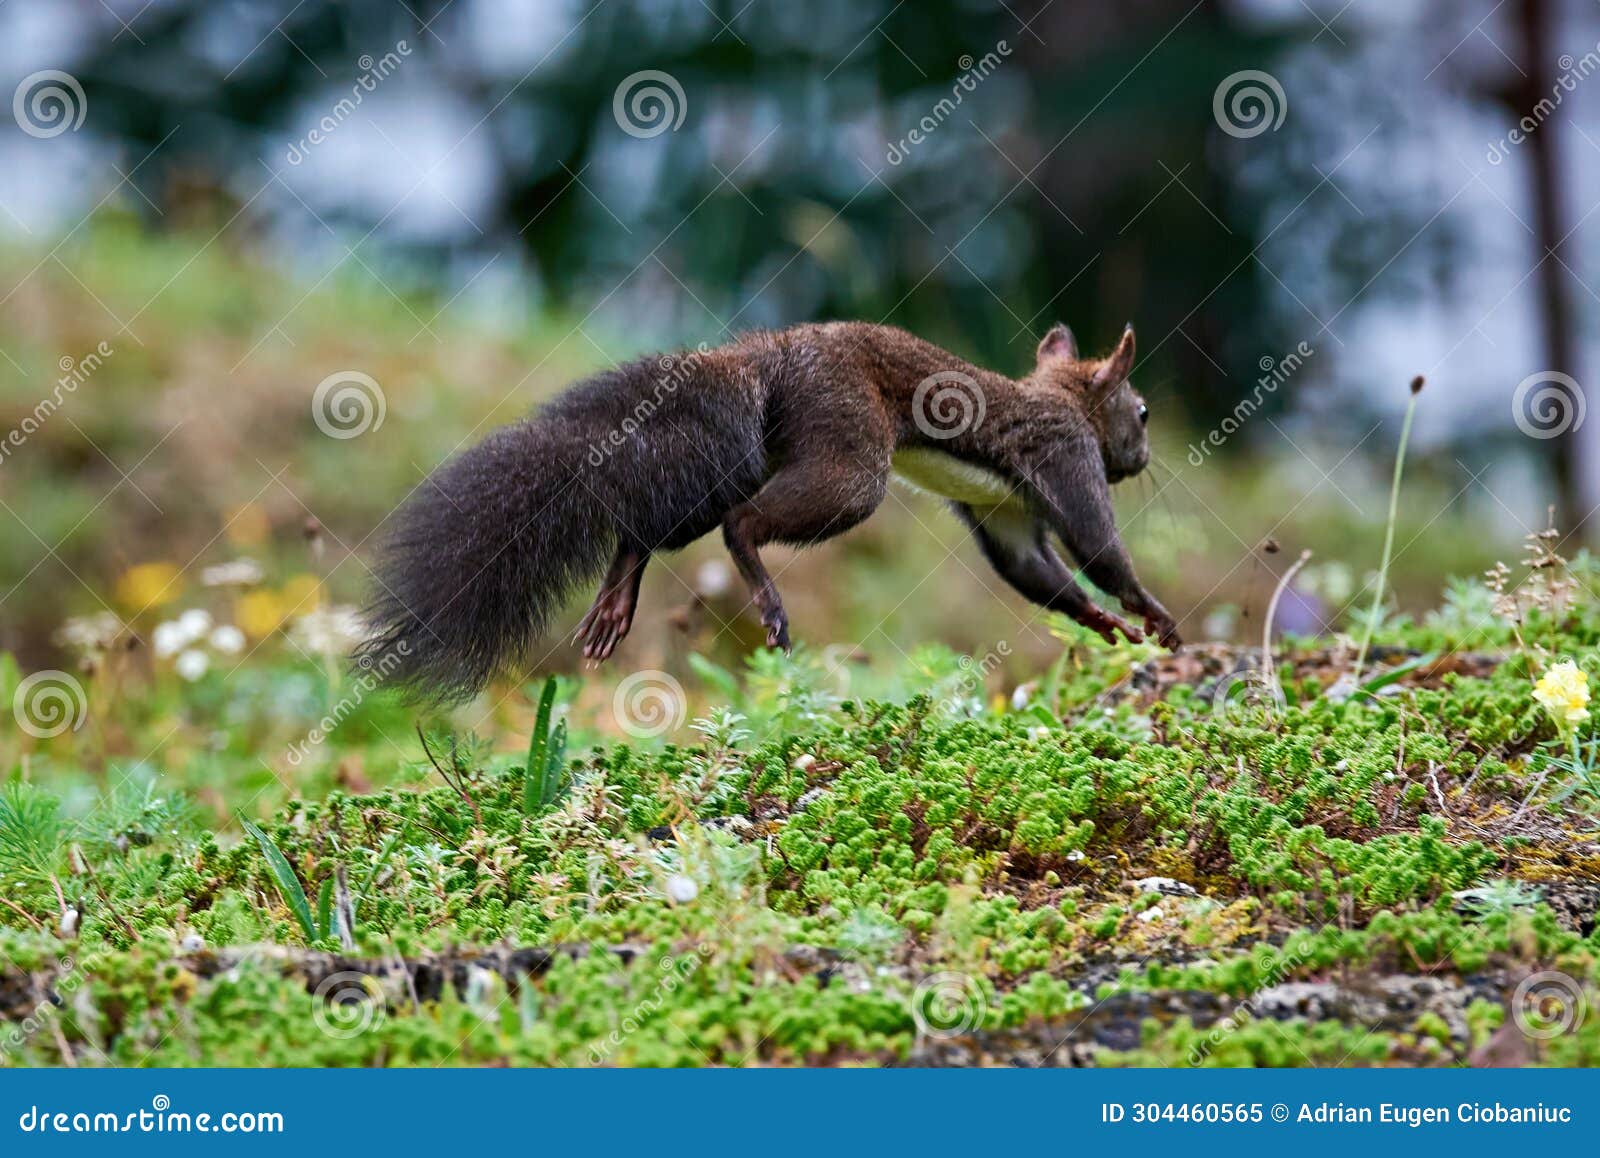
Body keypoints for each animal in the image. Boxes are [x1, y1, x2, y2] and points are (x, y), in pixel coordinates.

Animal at [359, 320, 1180, 701]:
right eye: (1142, 410)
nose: (1144, 458)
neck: (1060, 396)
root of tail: (768, 355)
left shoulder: (1005, 513)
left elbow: (1038, 571)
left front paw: (1107, 625)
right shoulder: (1068, 457)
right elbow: (1096, 546)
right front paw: (1155, 617)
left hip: (743, 459)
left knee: (657, 522)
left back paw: (615, 601)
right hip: (850, 462)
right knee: (741, 523)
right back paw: (768, 603)